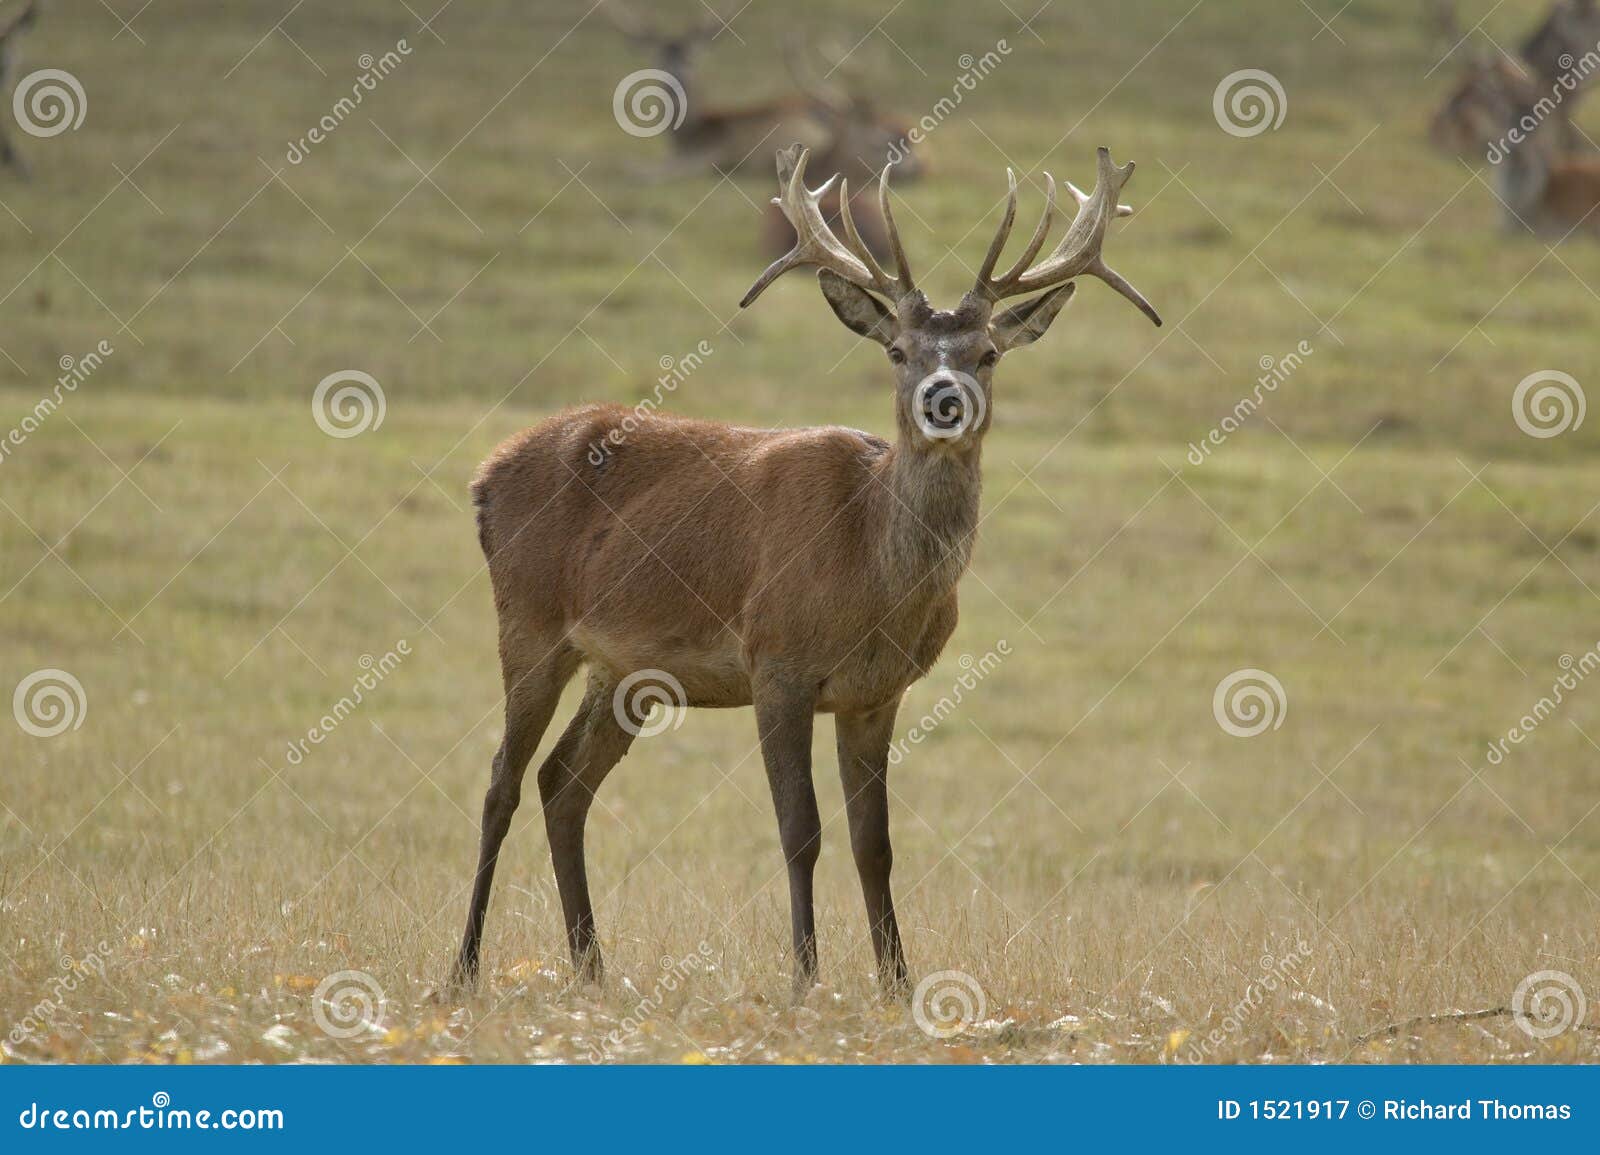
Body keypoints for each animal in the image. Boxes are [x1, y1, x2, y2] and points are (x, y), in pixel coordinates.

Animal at [449, 143, 1160, 1000]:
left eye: (987, 352)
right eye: (898, 351)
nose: (943, 399)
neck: (871, 576)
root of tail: (484, 479)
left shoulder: (876, 693)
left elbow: (873, 841)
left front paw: (897, 983)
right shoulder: (776, 661)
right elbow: (800, 829)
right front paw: (806, 979)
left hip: (624, 670)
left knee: (563, 782)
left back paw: (591, 970)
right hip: (528, 620)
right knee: (501, 781)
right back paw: (464, 969)